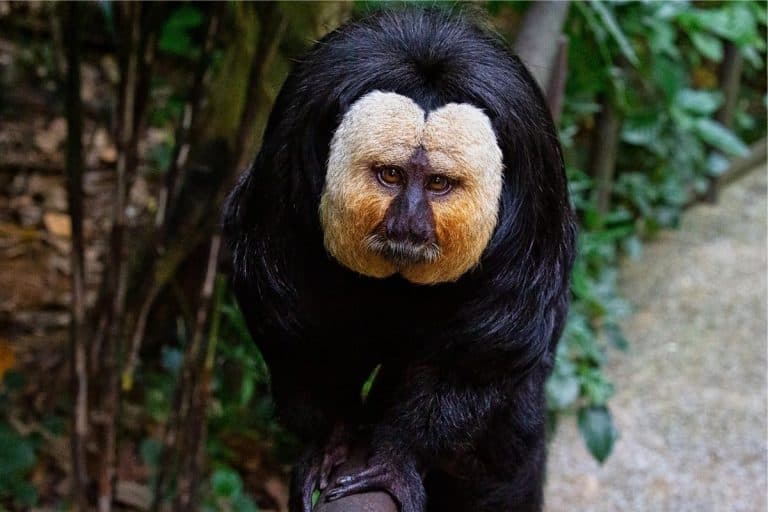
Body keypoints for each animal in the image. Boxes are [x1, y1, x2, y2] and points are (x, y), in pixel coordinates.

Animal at [223, 7, 576, 512]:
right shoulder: (288, 150)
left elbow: (487, 340)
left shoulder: (532, 171)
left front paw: (397, 459)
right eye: (390, 175)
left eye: (438, 184)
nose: (408, 223)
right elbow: (297, 322)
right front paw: (331, 441)